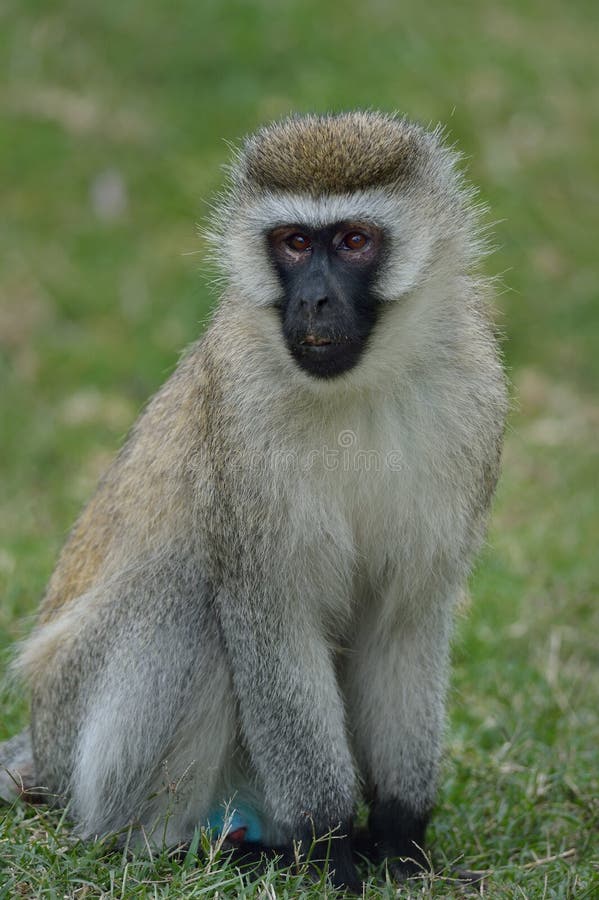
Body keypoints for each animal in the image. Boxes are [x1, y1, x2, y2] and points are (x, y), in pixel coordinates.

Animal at [0, 111, 507, 892]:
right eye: (294, 242)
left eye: (353, 241)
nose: (314, 299)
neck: (357, 389)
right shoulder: (240, 423)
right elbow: (269, 617)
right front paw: (330, 850)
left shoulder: (473, 400)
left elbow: (404, 620)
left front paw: (399, 839)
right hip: (69, 726)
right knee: (190, 596)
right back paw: (166, 844)